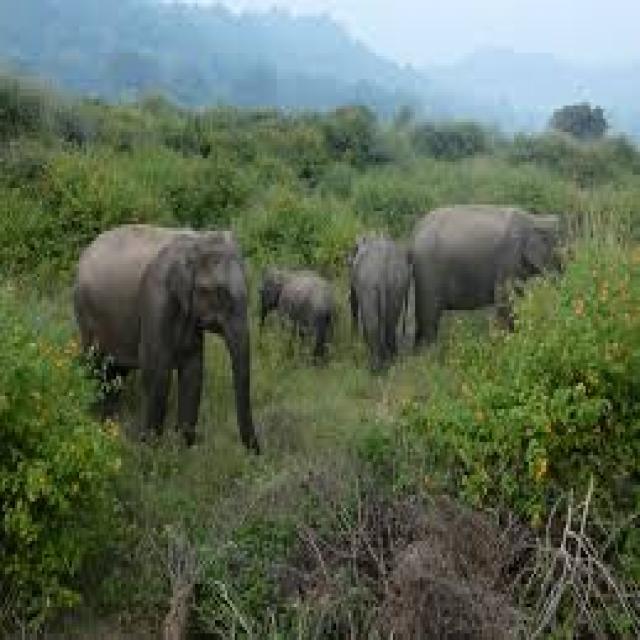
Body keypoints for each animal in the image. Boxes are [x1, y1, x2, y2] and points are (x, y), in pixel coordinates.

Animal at [73, 224, 260, 453]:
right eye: (216, 292)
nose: (256, 453)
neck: (197, 241)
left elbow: (193, 370)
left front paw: (183, 451)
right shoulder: (156, 298)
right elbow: (157, 370)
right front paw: (150, 451)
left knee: (115, 371)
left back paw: (110, 421)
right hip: (86, 312)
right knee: (96, 366)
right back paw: (97, 419)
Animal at [349, 234, 412, 371]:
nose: (353, 336)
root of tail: (383, 270)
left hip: (369, 286)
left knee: (372, 324)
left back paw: (375, 366)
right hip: (397, 284)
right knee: (391, 323)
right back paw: (392, 358)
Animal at [409, 205, 562, 346]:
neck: (536, 219)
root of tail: (415, 232)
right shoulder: (509, 258)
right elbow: (505, 297)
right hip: (428, 273)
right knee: (429, 319)